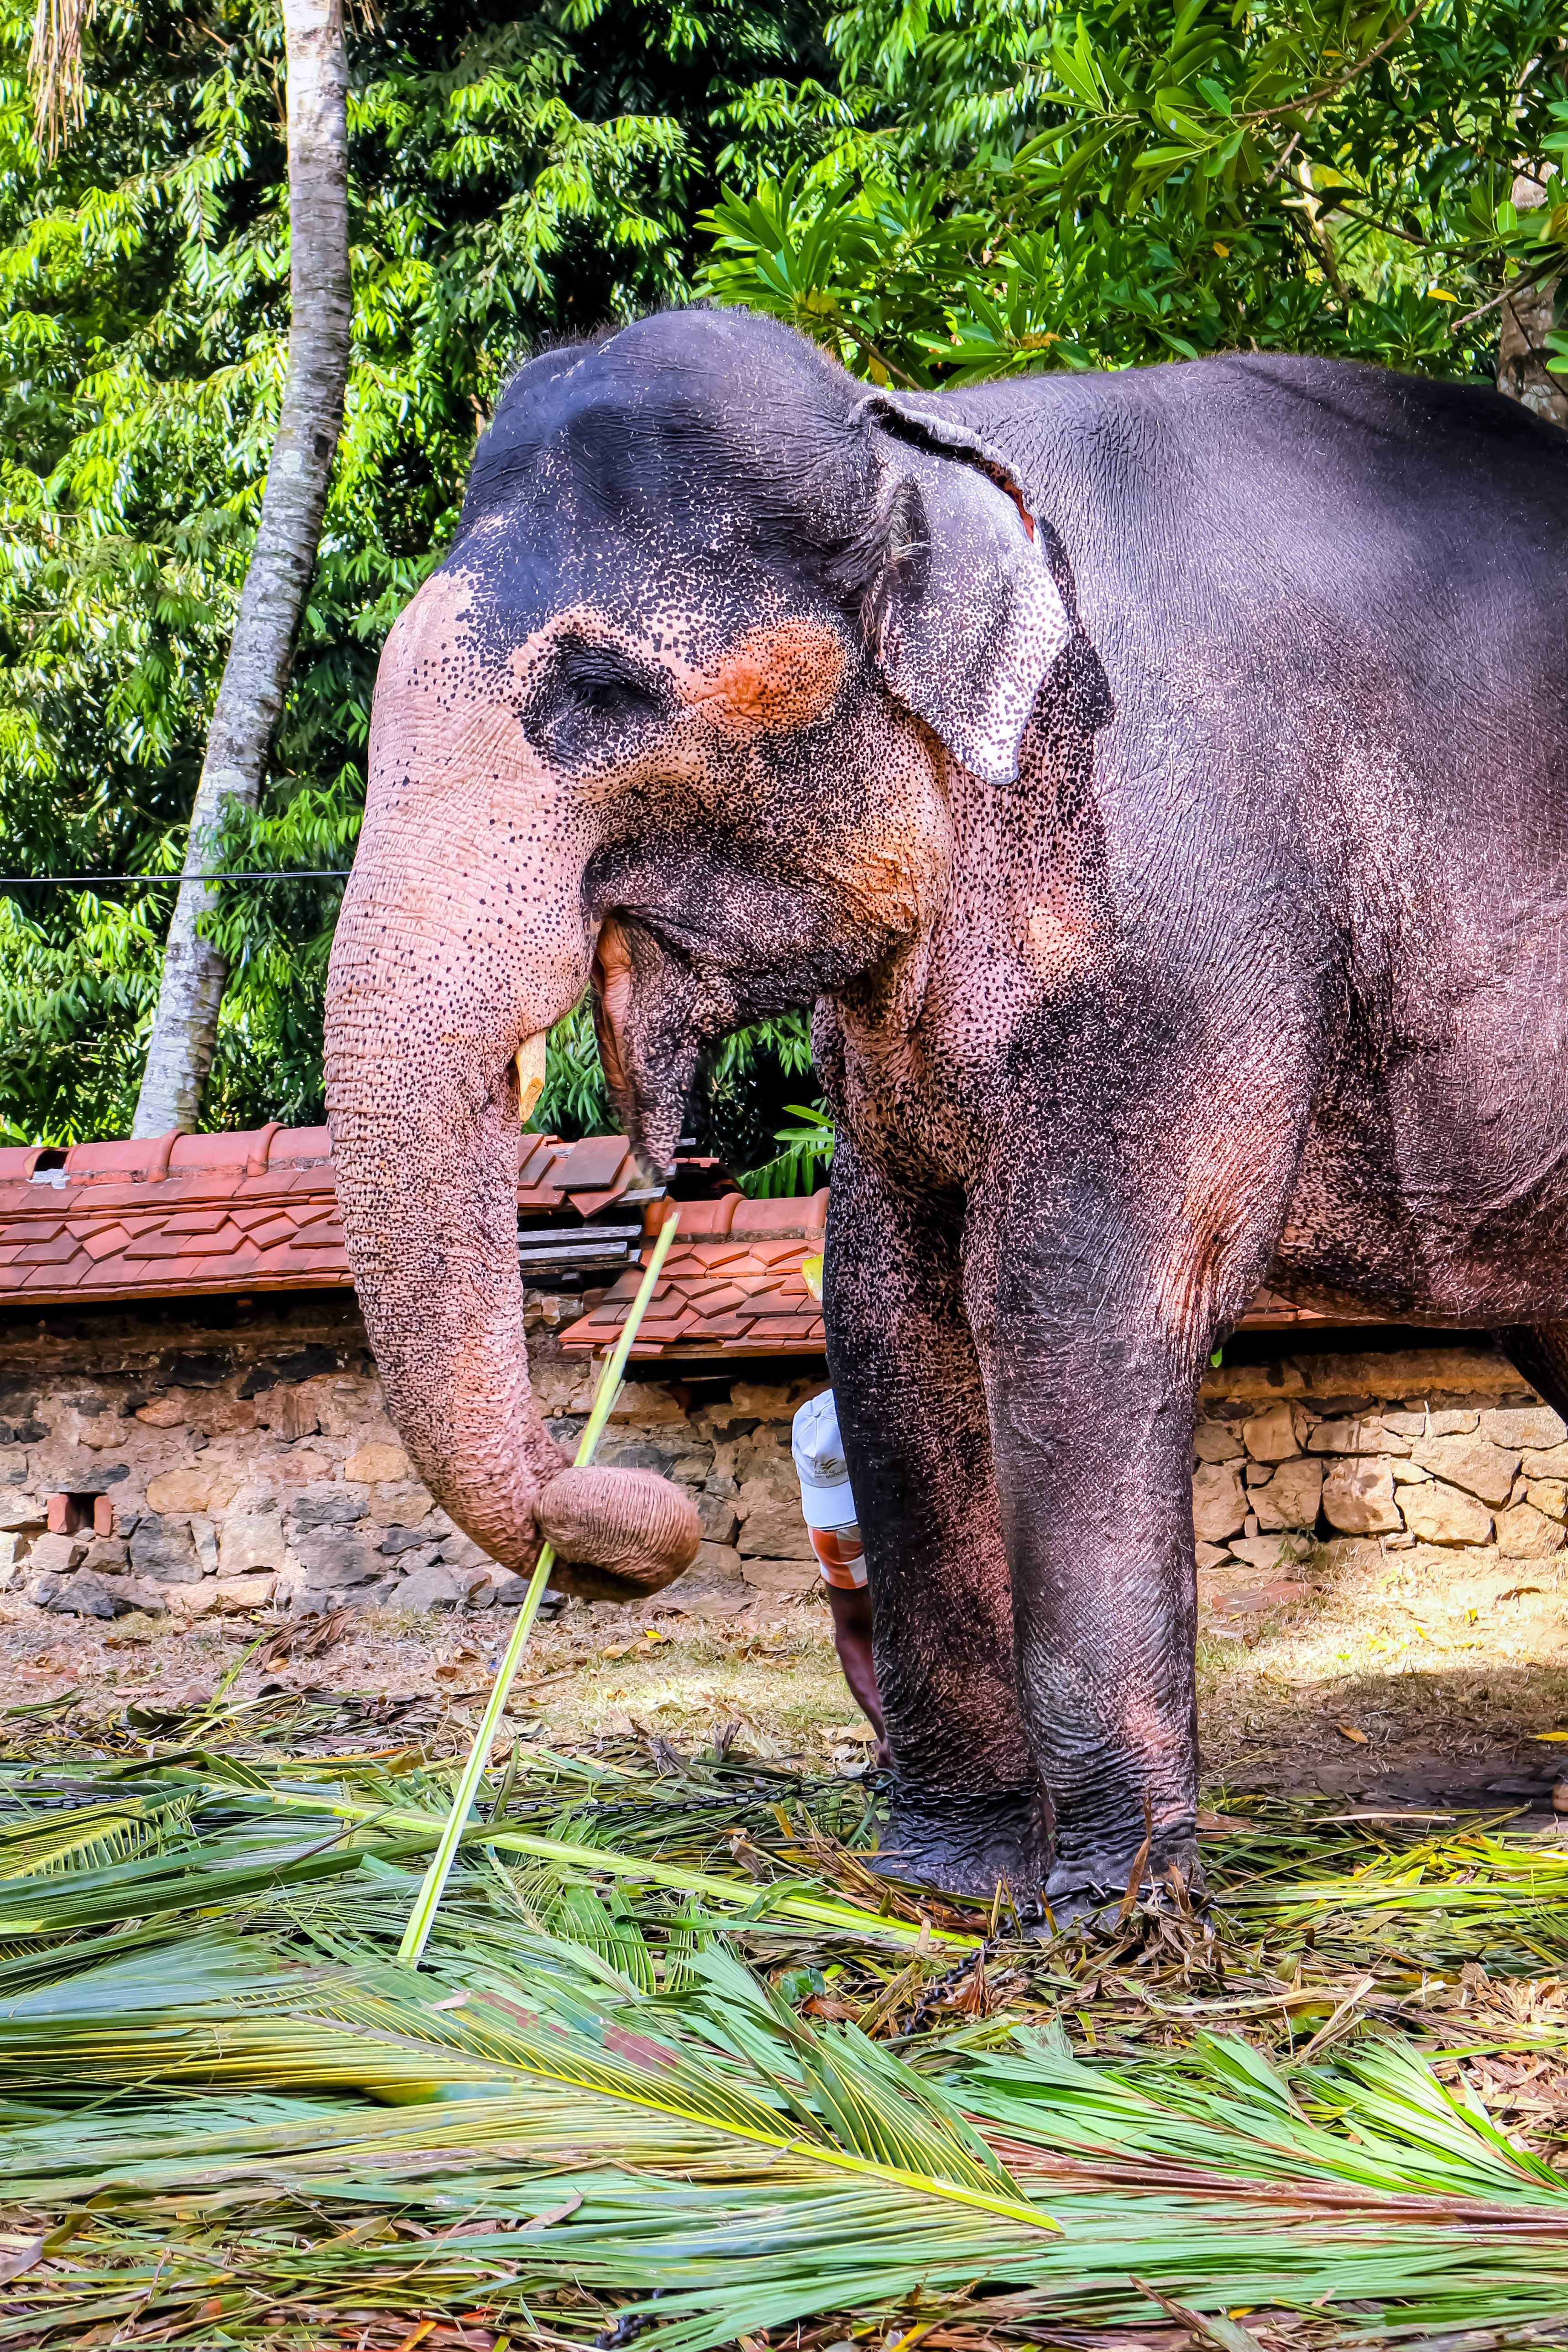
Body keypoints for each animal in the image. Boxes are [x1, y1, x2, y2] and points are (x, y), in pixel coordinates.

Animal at [325, 305, 1568, 1918]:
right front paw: (945, 1882)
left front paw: (1108, 1915)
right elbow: (881, 1299)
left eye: (602, 695)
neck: (921, 436)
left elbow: (1067, 1302)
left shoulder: (1176, 893)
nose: (625, 1512)